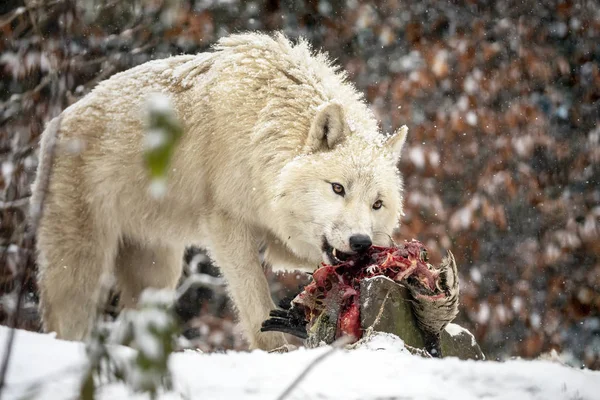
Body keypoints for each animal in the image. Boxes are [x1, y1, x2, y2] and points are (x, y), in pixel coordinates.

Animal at [31, 32, 408, 350]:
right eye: (338, 188)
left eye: (377, 204)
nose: (361, 242)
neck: (262, 126)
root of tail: (57, 123)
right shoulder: (227, 224)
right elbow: (256, 303)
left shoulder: (280, 237)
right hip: (81, 266)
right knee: (67, 319)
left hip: (156, 268)